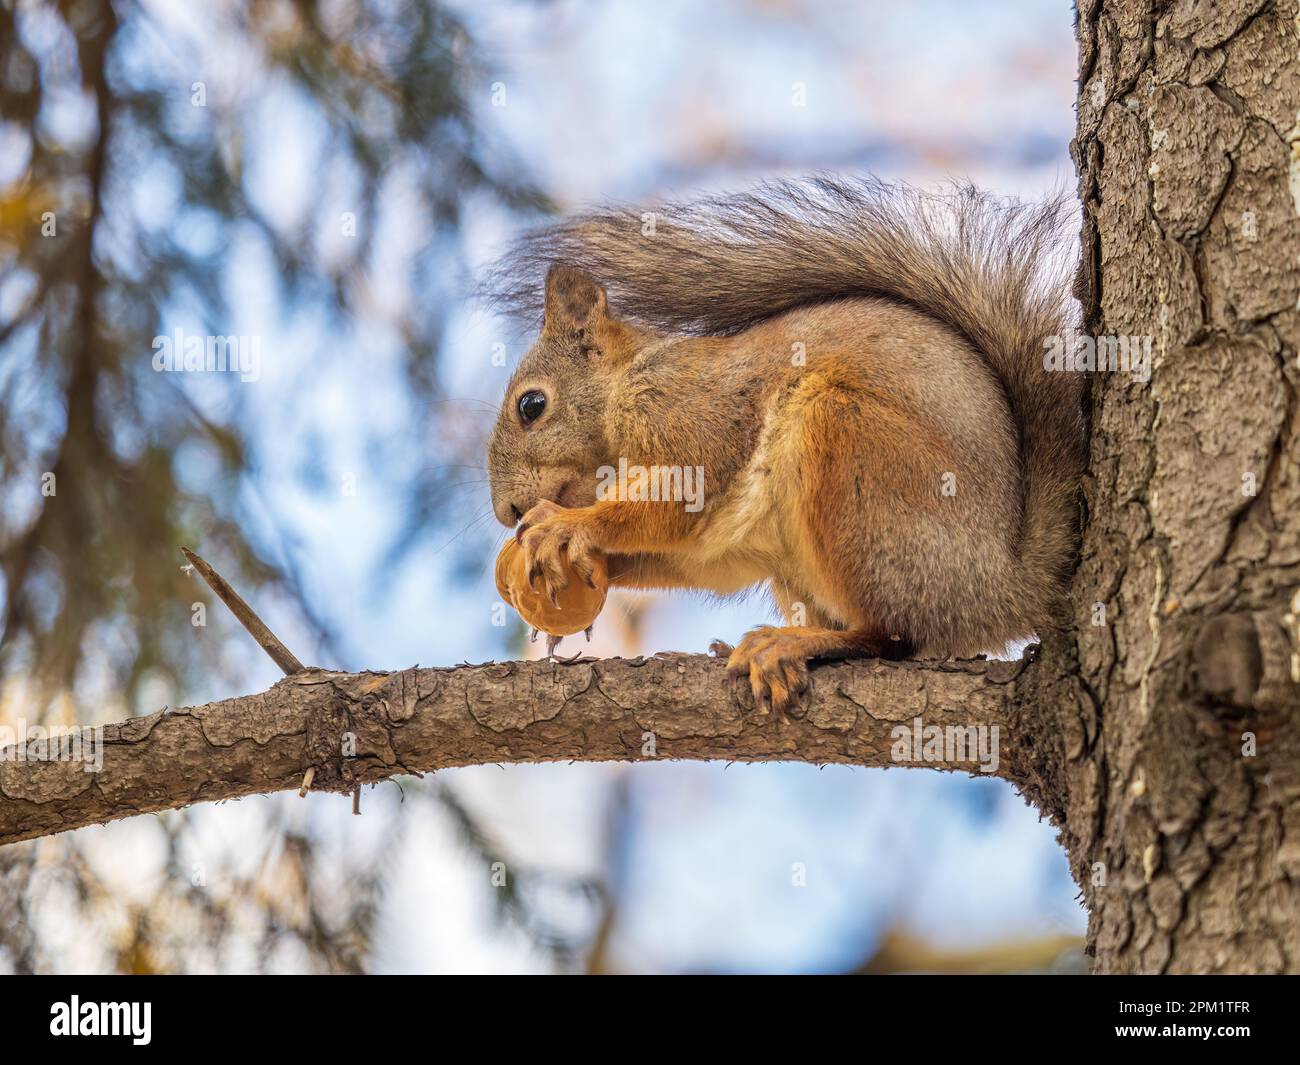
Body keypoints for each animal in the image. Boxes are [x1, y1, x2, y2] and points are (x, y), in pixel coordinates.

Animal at [484, 176, 1085, 713]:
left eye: (531, 405)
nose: (507, 511)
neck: (623, 387)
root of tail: (1000, 585)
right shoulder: (720, 546)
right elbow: (687, 554)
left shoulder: (690, 414)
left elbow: (679, 499)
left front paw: (566, 525)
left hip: (852, 455)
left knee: (891, 635)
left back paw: (791, 643)